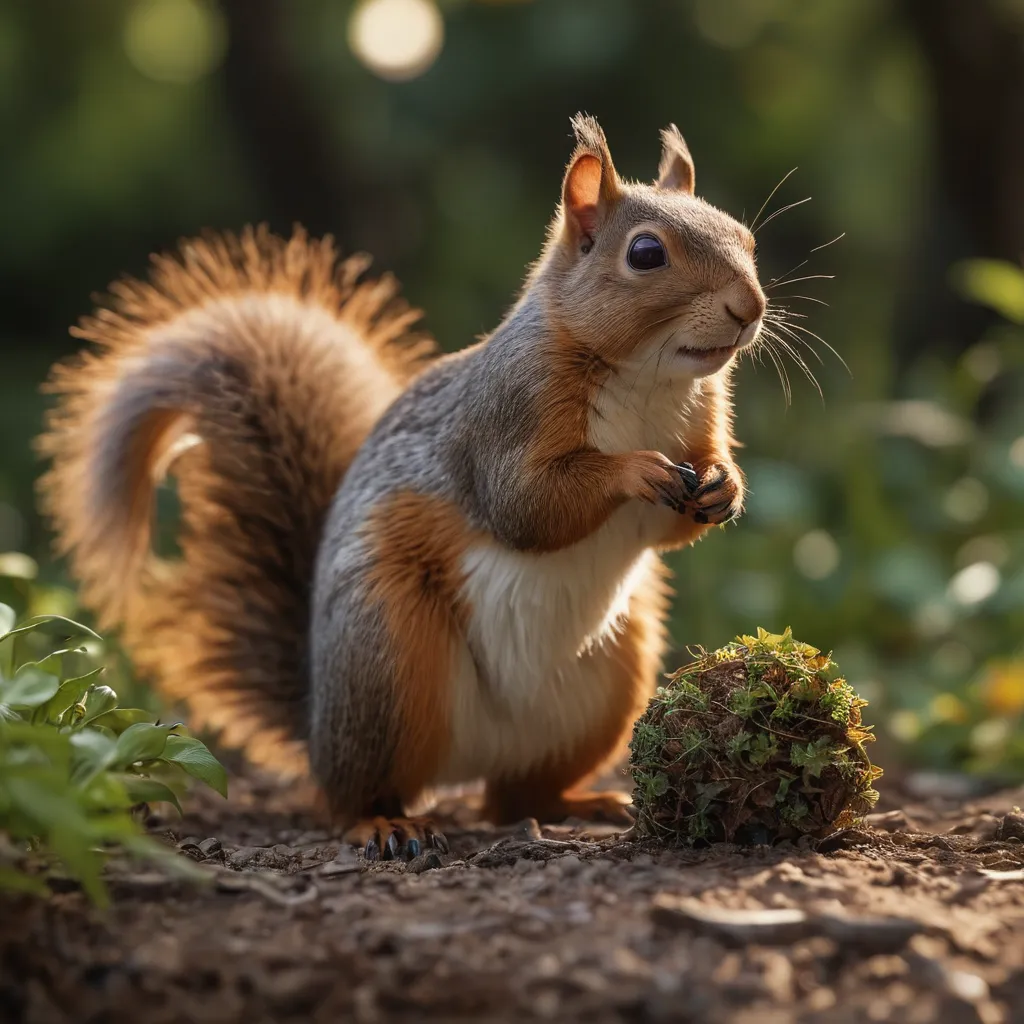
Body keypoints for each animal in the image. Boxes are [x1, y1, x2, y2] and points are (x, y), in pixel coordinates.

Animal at [37, 115, 766, 859]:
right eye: (645, 253)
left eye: (745, 237)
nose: (751, 307)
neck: (647, 379)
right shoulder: (503, 420)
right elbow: (526, 507)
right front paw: (635, 469)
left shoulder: (701, 422)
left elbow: (675, 521)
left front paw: (726, 486)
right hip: (387, 655)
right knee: (354, 794)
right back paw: (386, 824)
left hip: (604, 690)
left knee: (514, 797)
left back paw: (586, 803)